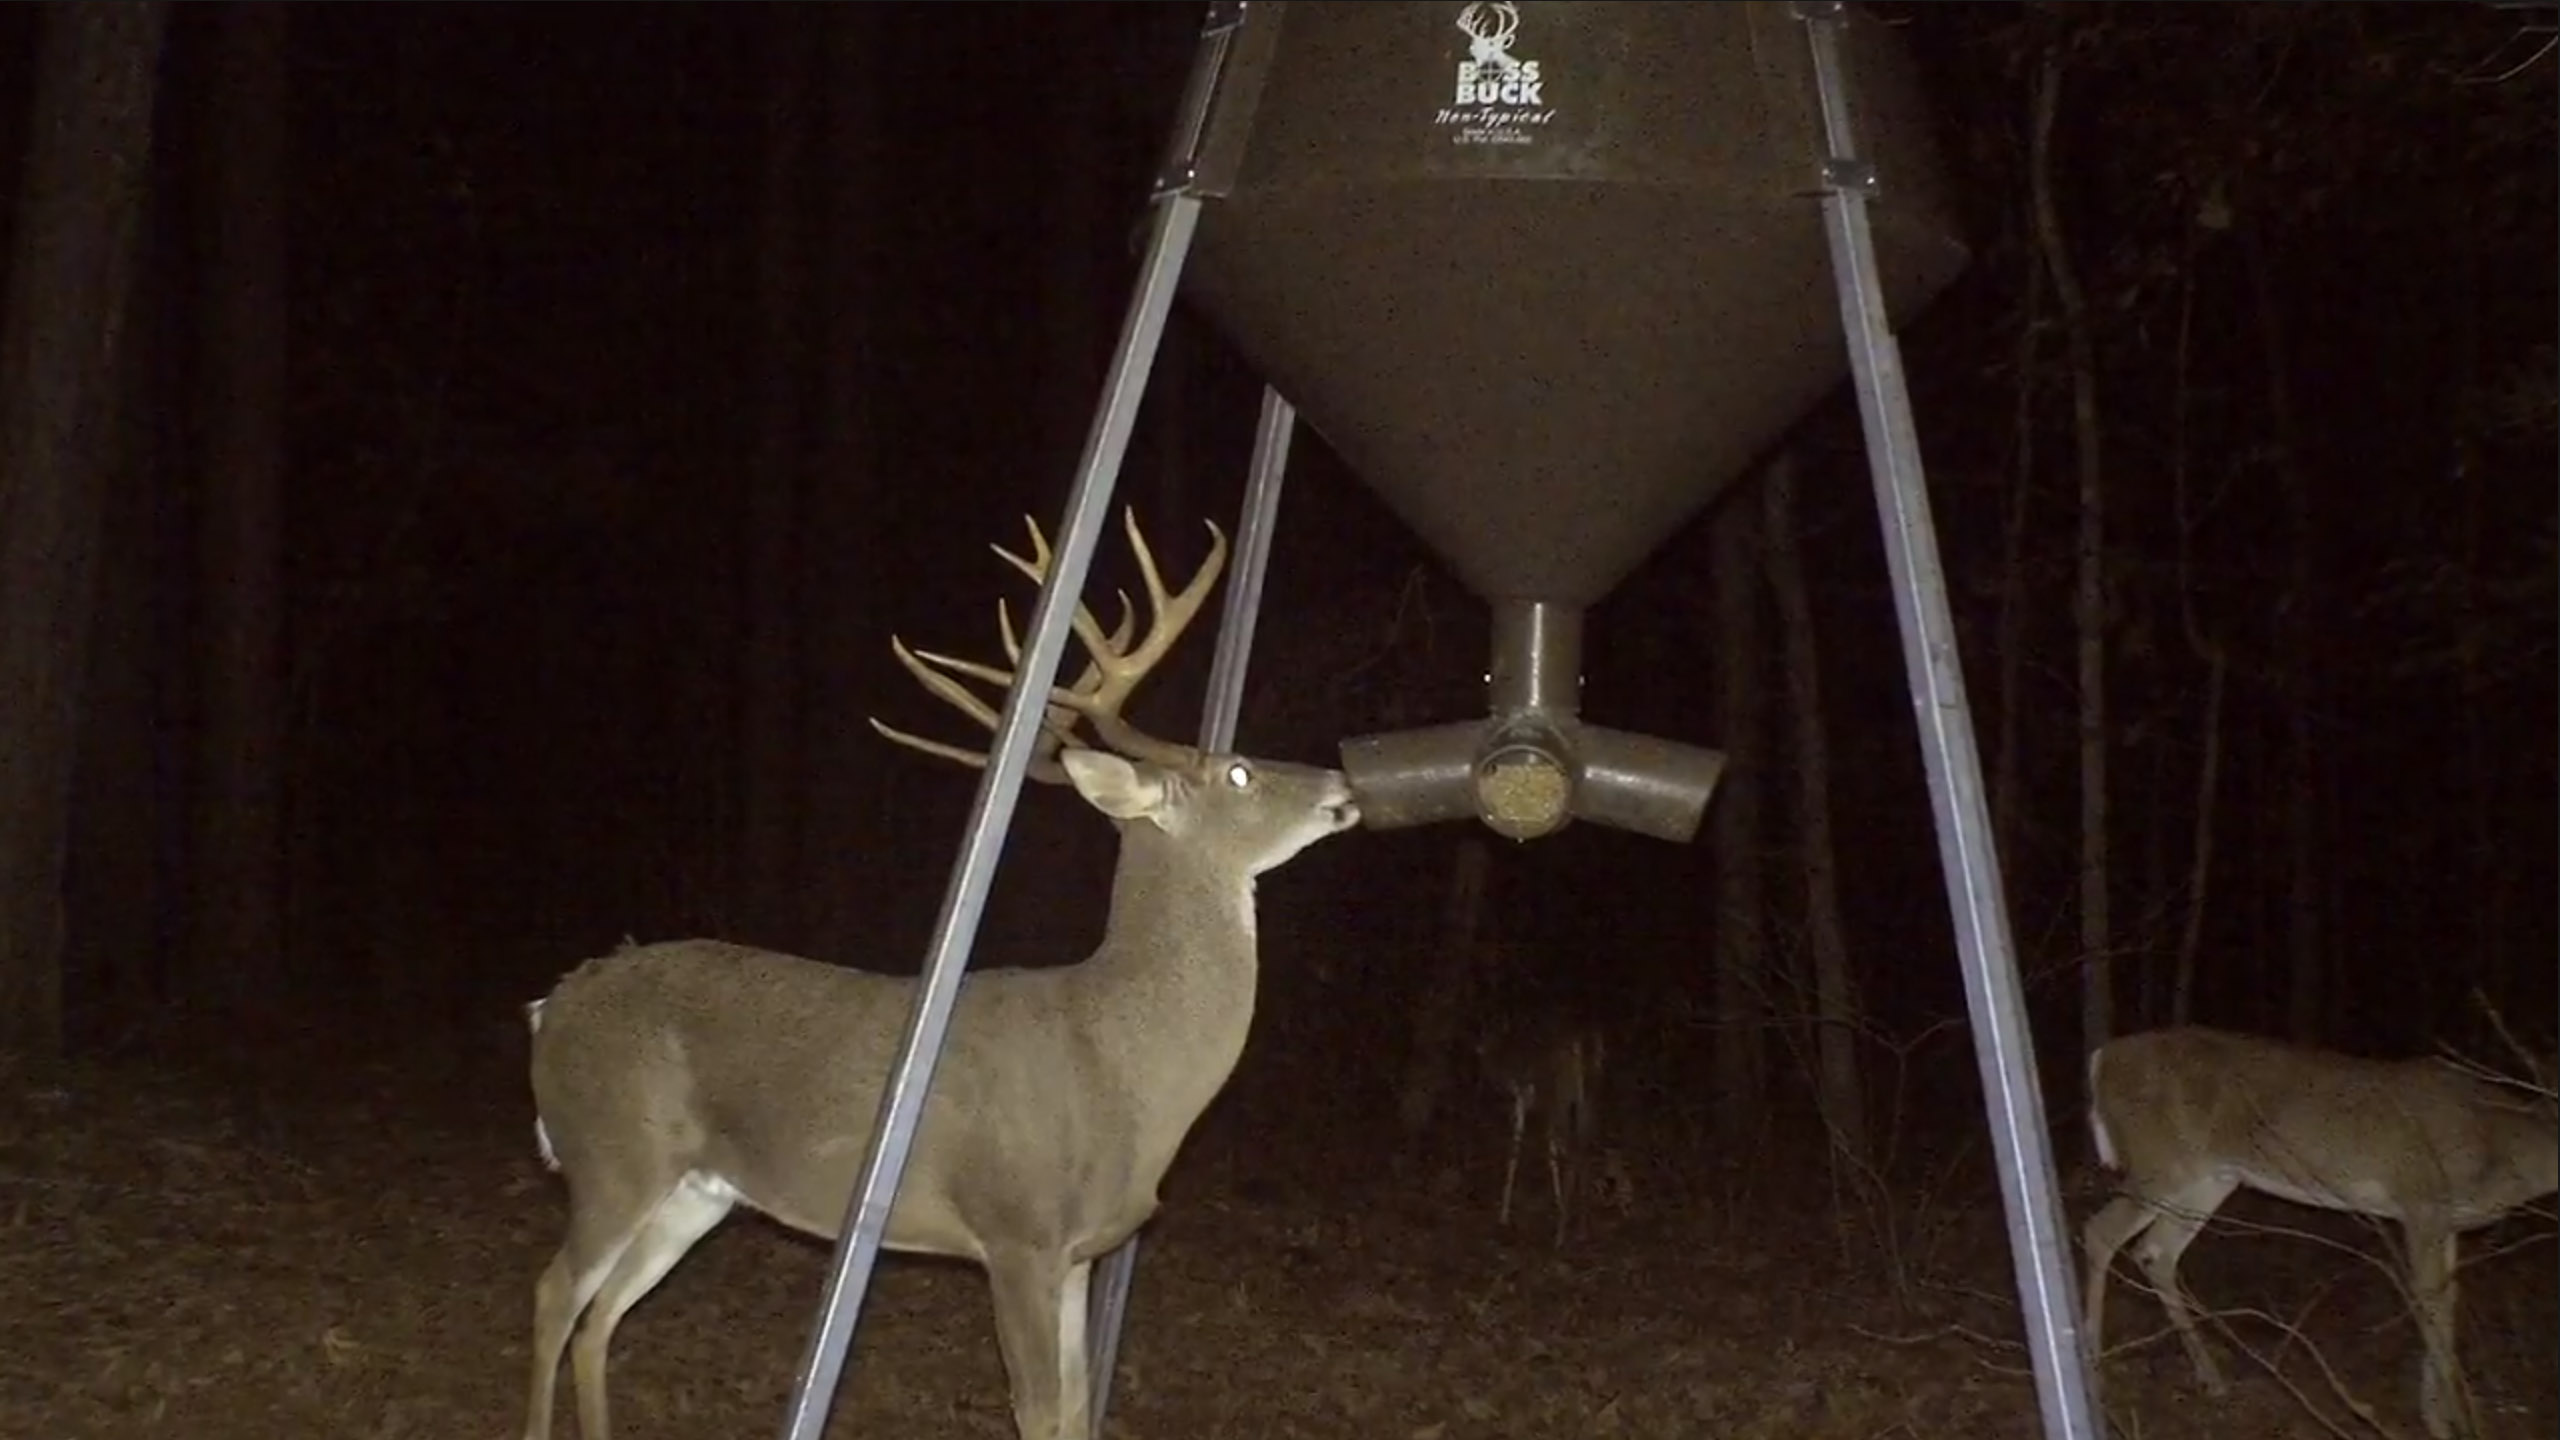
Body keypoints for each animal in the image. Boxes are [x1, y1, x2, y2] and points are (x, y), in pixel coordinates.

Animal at [518, 508, 1361, 1440]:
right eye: (1238, 770)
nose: (1342, 783)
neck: (1122, 1061)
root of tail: (551, 1003)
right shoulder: (1017, 1231)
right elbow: (1037, 1409)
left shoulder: (1079, 1255)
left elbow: (1075, 1410)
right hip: (612, 1155)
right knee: (554, 1295)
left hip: (696, 1190)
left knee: (603, 1316)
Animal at [1474, 1011, 1607, 1247]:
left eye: (1486, 1032)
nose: (1477, 1047)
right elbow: (1550, 1152)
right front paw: (1557, 1203)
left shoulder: (1523, 1099)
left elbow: (1516, 1150)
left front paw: (1503, 1217)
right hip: (1588, 1100)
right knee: (1584, 1152)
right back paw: (1582, 1229)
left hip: (1560, 1100)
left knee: (1574, 1155)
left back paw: (1561, 1236)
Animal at [2080, 1026, 2558, 1440]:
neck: (2503, 1147)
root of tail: (2100, 1059)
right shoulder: (2421, 1202)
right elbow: (2430, 1305)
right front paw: (2448, 1421)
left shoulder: (2449, 1223)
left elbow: (2448, 1302)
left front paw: (2440, 1414)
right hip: (2160, 1160)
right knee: (2101, 1232)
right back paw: (2094, 1369)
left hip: (2210, 1177)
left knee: (2155, 1250)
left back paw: (2211, 1379)